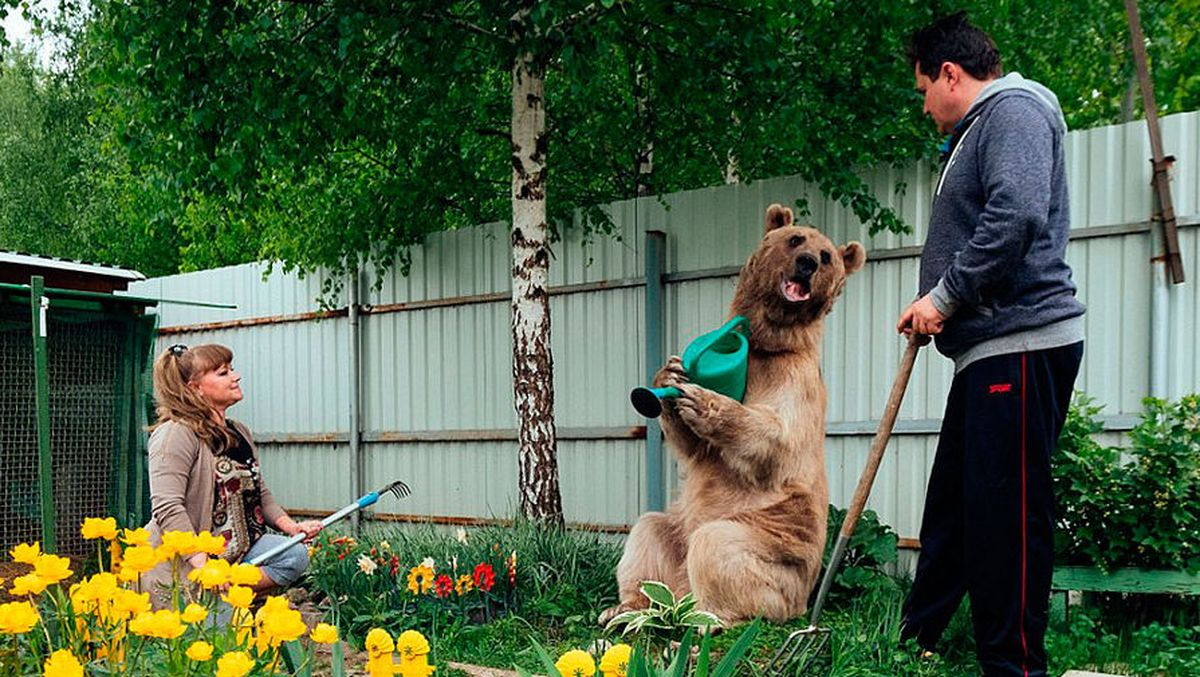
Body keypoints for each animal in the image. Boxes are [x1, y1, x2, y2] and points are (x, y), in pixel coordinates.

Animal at [604, 204, 868, 628]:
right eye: (795, 239)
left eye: (827, 255)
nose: (808, 263)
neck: (765, 343)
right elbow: (693, 447)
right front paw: (670, 375)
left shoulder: (795, 379)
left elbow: (778, 438)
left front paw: (705, 401)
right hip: (678, 533)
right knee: (647, 531)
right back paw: (626, 606)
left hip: (773, 547)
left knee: (717, 546)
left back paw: (708, 618)